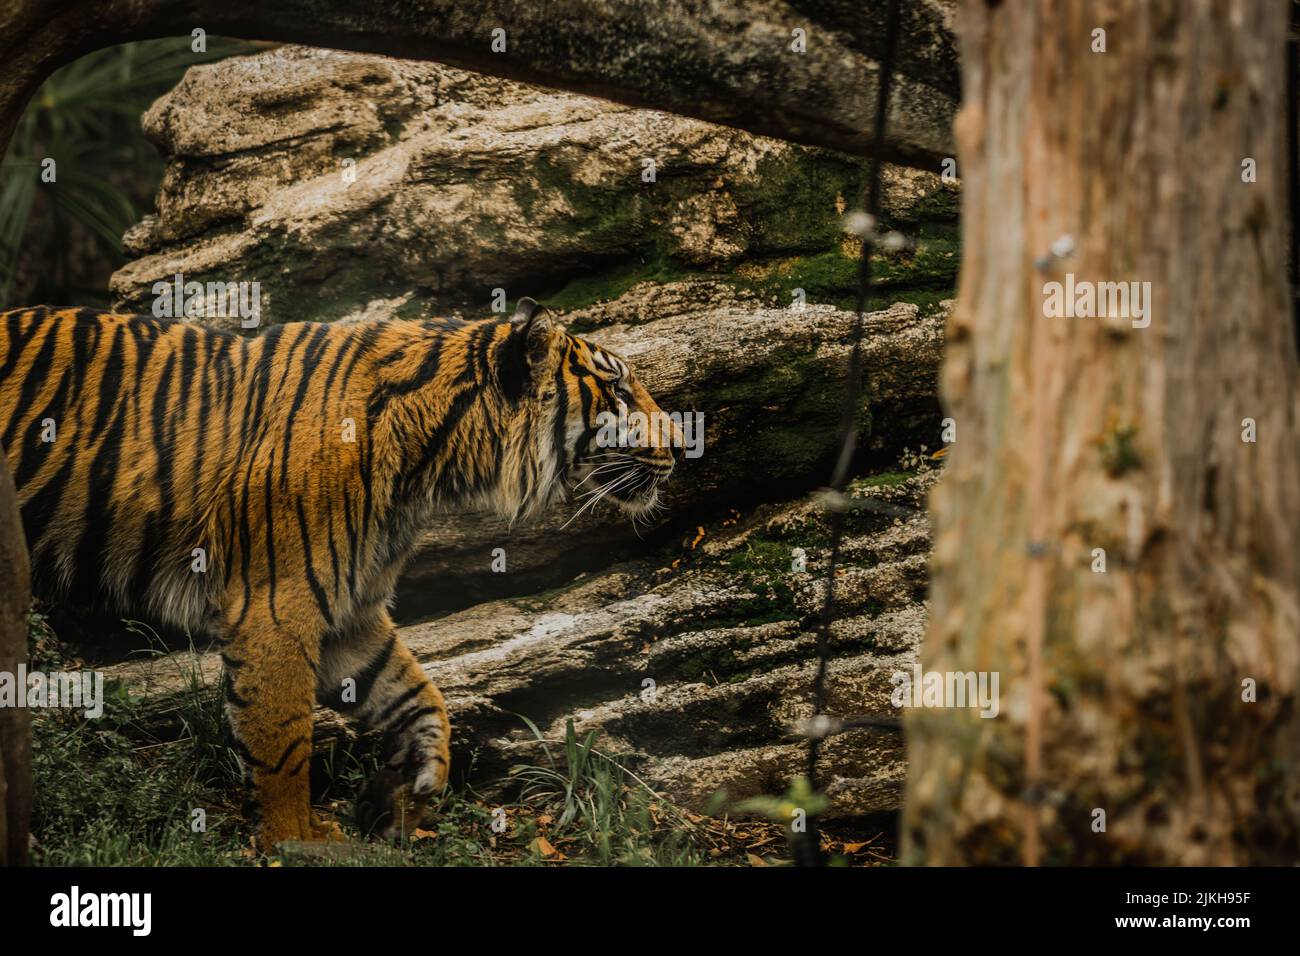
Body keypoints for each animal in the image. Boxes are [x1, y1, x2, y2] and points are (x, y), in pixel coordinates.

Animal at [0, 298, 681, 848]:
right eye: (619, 393)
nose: (682, 443)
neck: (432, 463)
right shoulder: (275, 605)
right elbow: (283, 740)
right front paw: (294, 838)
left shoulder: (349, 611)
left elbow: (419, 696)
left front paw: (410, 789)